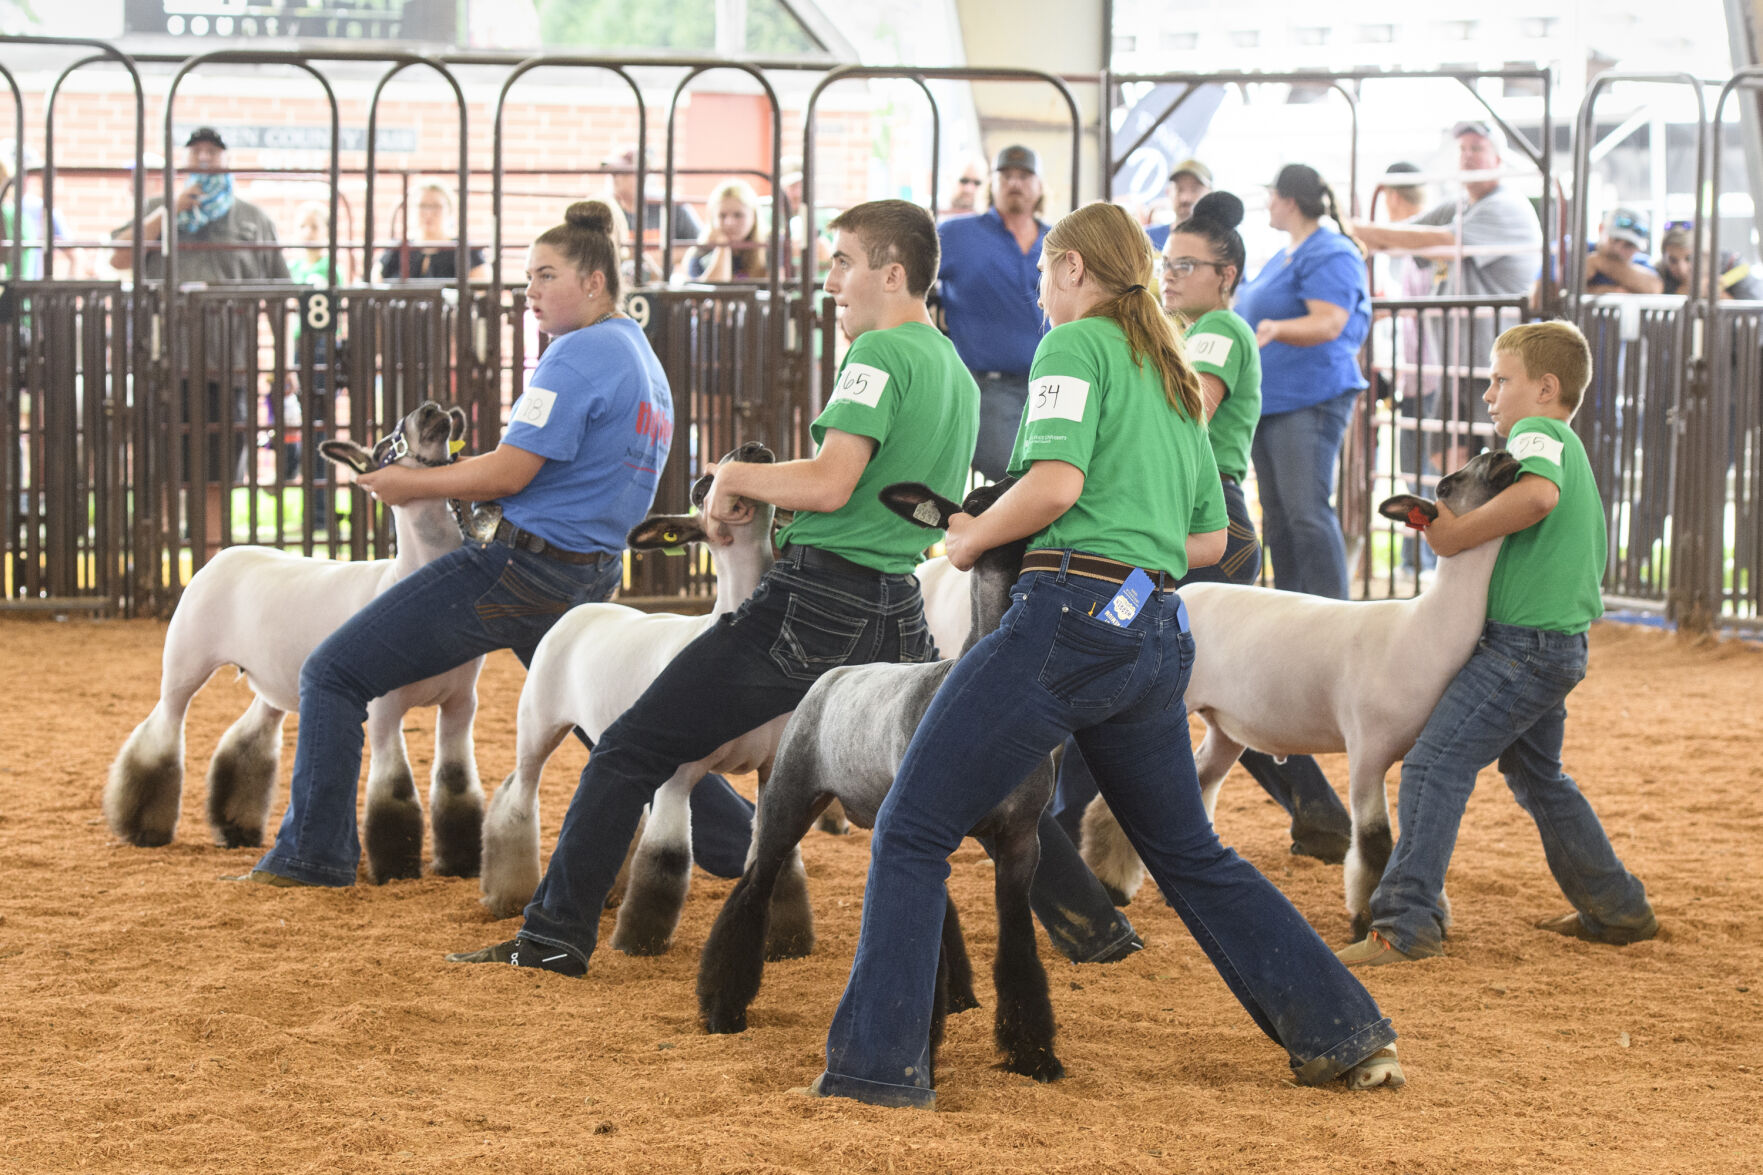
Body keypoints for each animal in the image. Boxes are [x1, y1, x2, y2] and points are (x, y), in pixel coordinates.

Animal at [104, 401, 486, 883]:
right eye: (384, 447)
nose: (432, 409)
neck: (406, 578)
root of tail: (222, 554)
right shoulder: (385, 706)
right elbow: (395, 787)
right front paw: (396, 870)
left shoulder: (460, 703)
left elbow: (457, 783)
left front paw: (461, 865)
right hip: (184, 663)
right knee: (162, 732)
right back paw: (145, 829)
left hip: (275, 681)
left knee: (248, 742)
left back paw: (237, 828)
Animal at [696, 477, 1065, 1086]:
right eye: (978, 503)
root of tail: (835, 672)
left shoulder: (1020, 837)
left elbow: (1017, 946)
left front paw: (1035, 1057)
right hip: (791, 791)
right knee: (753, 888)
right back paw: (721, 1011)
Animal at [1078, 449, 1525, 939]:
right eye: (1446, 485)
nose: (1504, 455)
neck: (1425, 627)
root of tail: (1178, 594)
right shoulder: (1366, 749)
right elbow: (1374, 840)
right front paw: (1365, 920)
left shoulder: (1418, 750)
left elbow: (1414, 837)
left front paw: (1432, 917)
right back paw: (1112, 886)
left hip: (1225, 728)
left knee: (1198, 783)